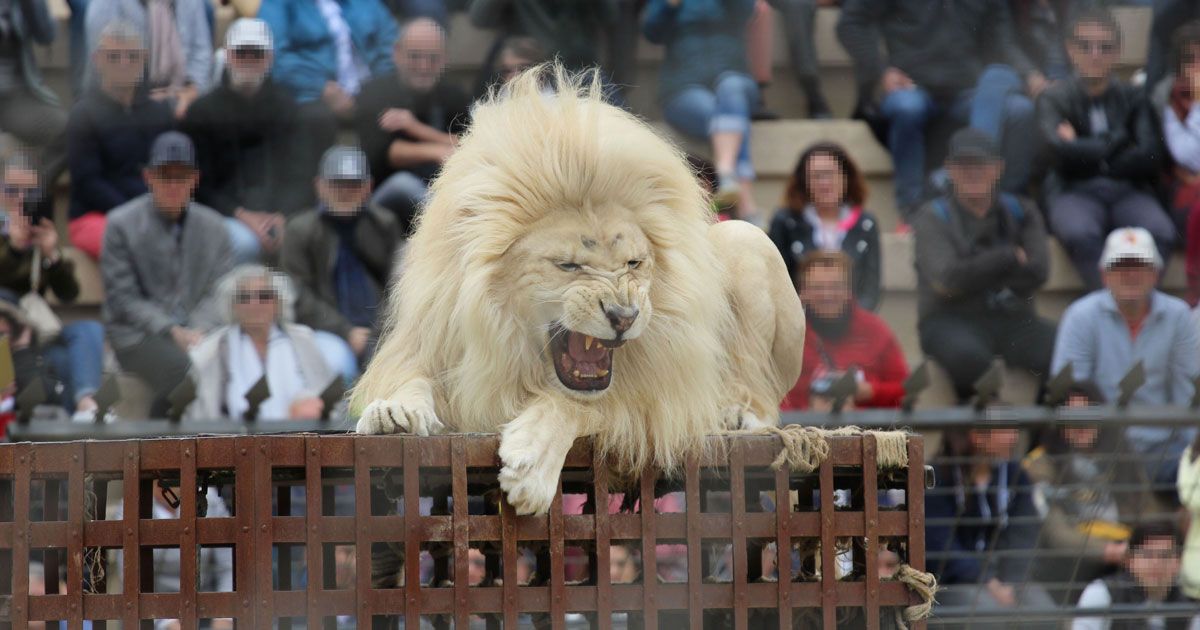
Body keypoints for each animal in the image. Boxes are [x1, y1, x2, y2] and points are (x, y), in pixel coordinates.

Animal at [353, 66, 805, 515]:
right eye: (569, 266)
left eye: (633, 264)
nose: (624, 317)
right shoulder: (439, 347)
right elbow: (413, 379)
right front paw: (394, 411)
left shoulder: (653, 402)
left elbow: (574, 404)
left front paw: (532, 466)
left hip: (745, 239)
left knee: (761, 398)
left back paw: (732, 414)